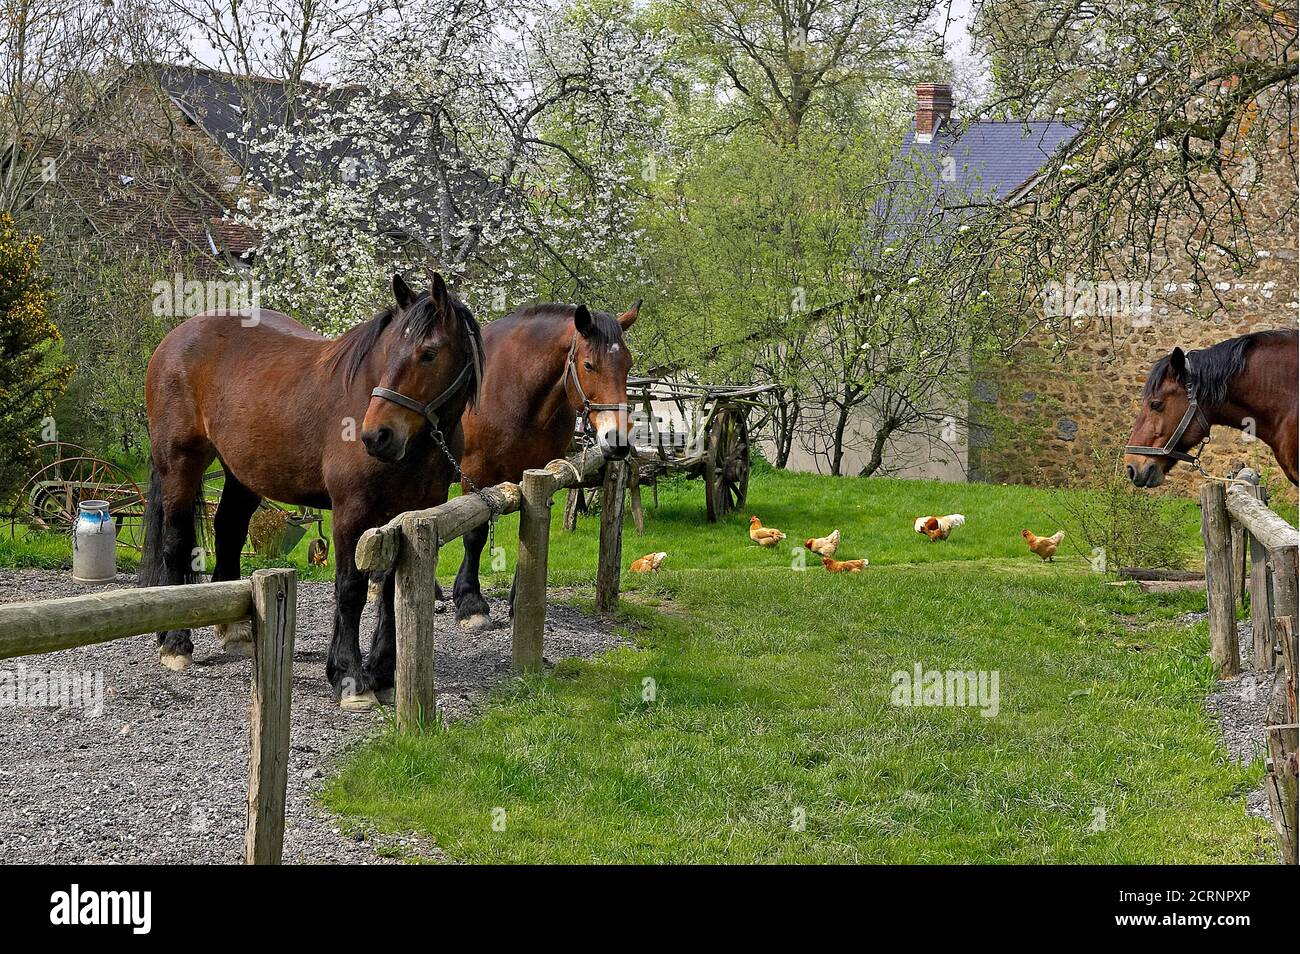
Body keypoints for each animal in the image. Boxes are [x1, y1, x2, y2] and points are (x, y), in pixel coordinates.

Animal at [139, 273, 484, 711]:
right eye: (389, 351)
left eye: (429, 353)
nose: (377, 436)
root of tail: (176, 337)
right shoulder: (352, 513)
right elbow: (351, 589)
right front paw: (350, 676)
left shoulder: (409, 517)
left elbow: (390, 588)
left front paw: (382, 673)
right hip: (179, 464)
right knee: (176, 542)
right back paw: (174, 643)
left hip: (242, 475)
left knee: (229, 532)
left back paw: (235, 630)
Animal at [450, 300, 640, 628]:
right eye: (589, 365)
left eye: (627, 365)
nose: (616, 441)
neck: (514, 386)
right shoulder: (475, 473)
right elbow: (474, 536)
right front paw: (470, 603)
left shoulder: (538, 473)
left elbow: (531, 530)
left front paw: (520, 602)